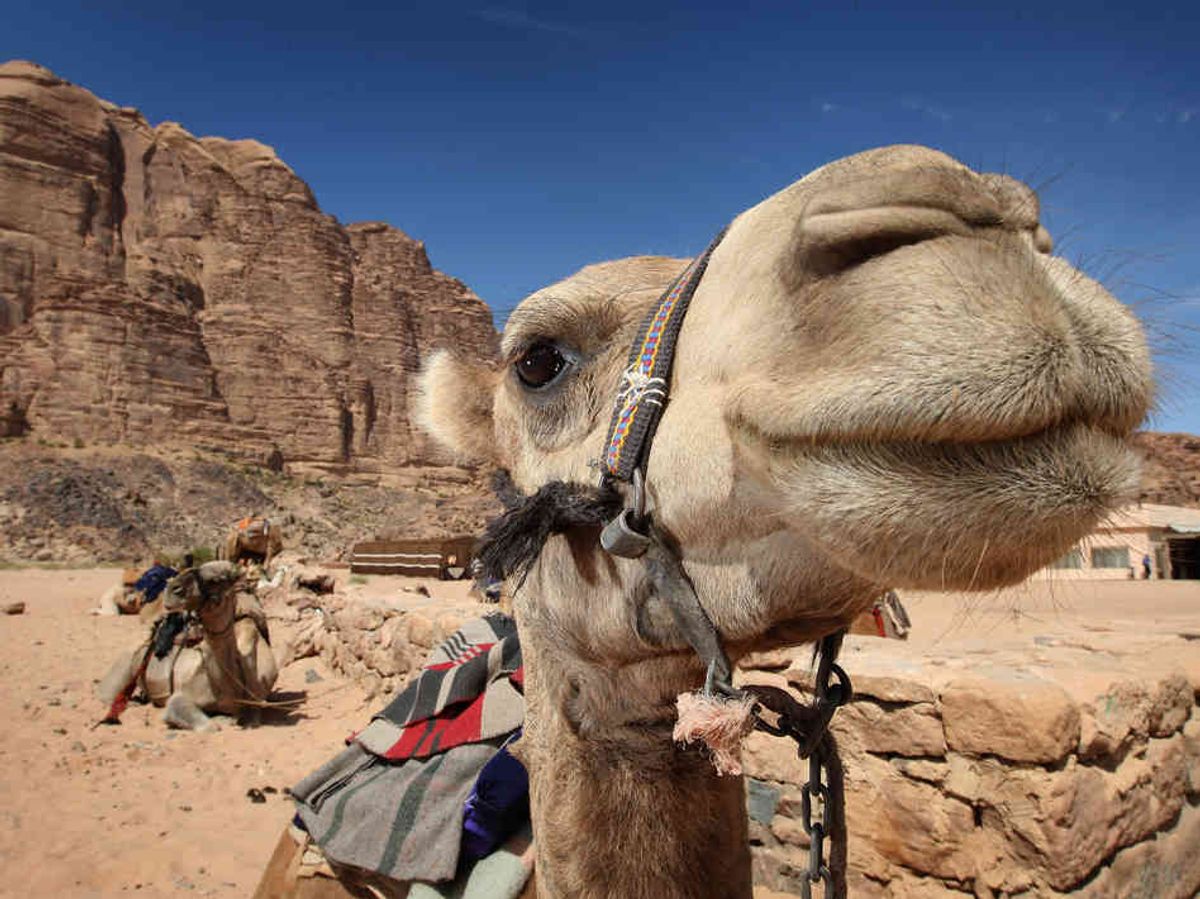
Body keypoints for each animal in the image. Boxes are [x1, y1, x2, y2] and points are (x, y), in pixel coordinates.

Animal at [96, 561, 279, 731]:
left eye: (216, 580)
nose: (172, 589)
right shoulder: (180, 697)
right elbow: (208, 726)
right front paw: (220, 720)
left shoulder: (254, 699)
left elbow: (251, 718)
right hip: (126, 660)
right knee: (106, 693)